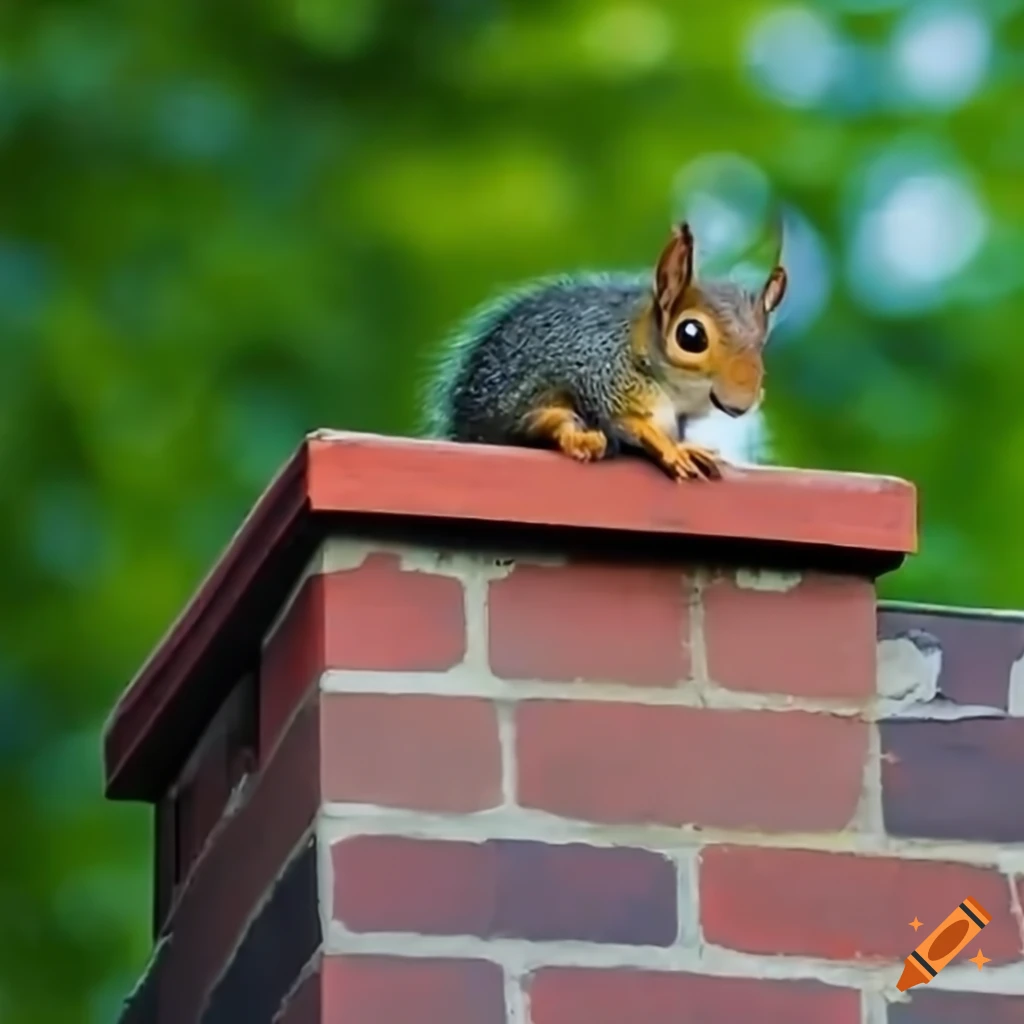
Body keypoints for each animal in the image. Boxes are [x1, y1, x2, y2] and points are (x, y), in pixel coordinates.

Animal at [420, 222, 787, 481]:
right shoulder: (600, 371)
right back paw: (580, 439)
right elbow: (626, 421)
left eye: (761, 344)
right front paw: (669, 448)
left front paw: (685, 446)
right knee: (549, 422)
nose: (739, 405)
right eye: (691, 336)